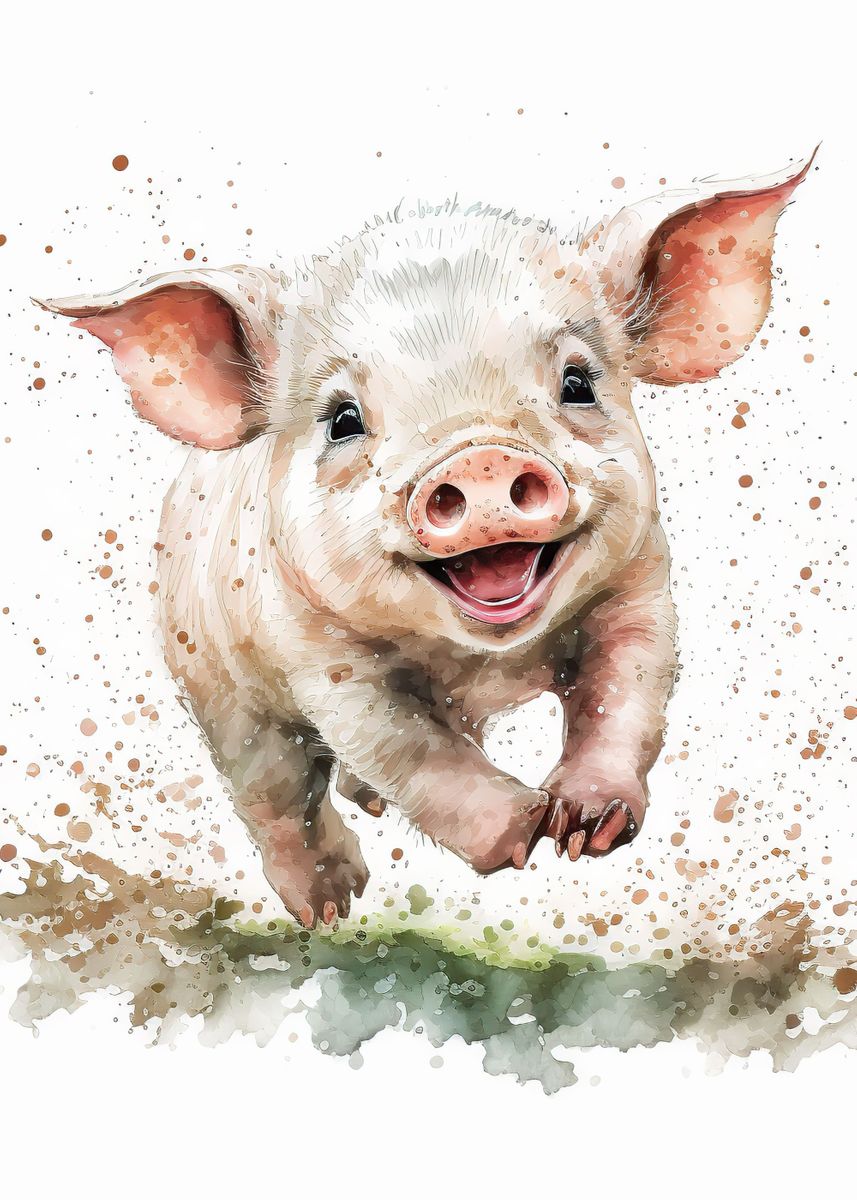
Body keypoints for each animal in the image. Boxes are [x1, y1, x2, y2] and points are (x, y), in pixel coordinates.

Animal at [39, 153, 813, 926]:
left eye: (577, 382)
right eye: (342, 419)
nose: (481, 458)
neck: (488, 663)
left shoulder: (640, 585)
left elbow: (624, 695)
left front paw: (584, 829)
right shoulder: (323, 658)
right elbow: (412, 754)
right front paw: (526, 832)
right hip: (212, 683)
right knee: (275, 793)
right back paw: (329, 908)